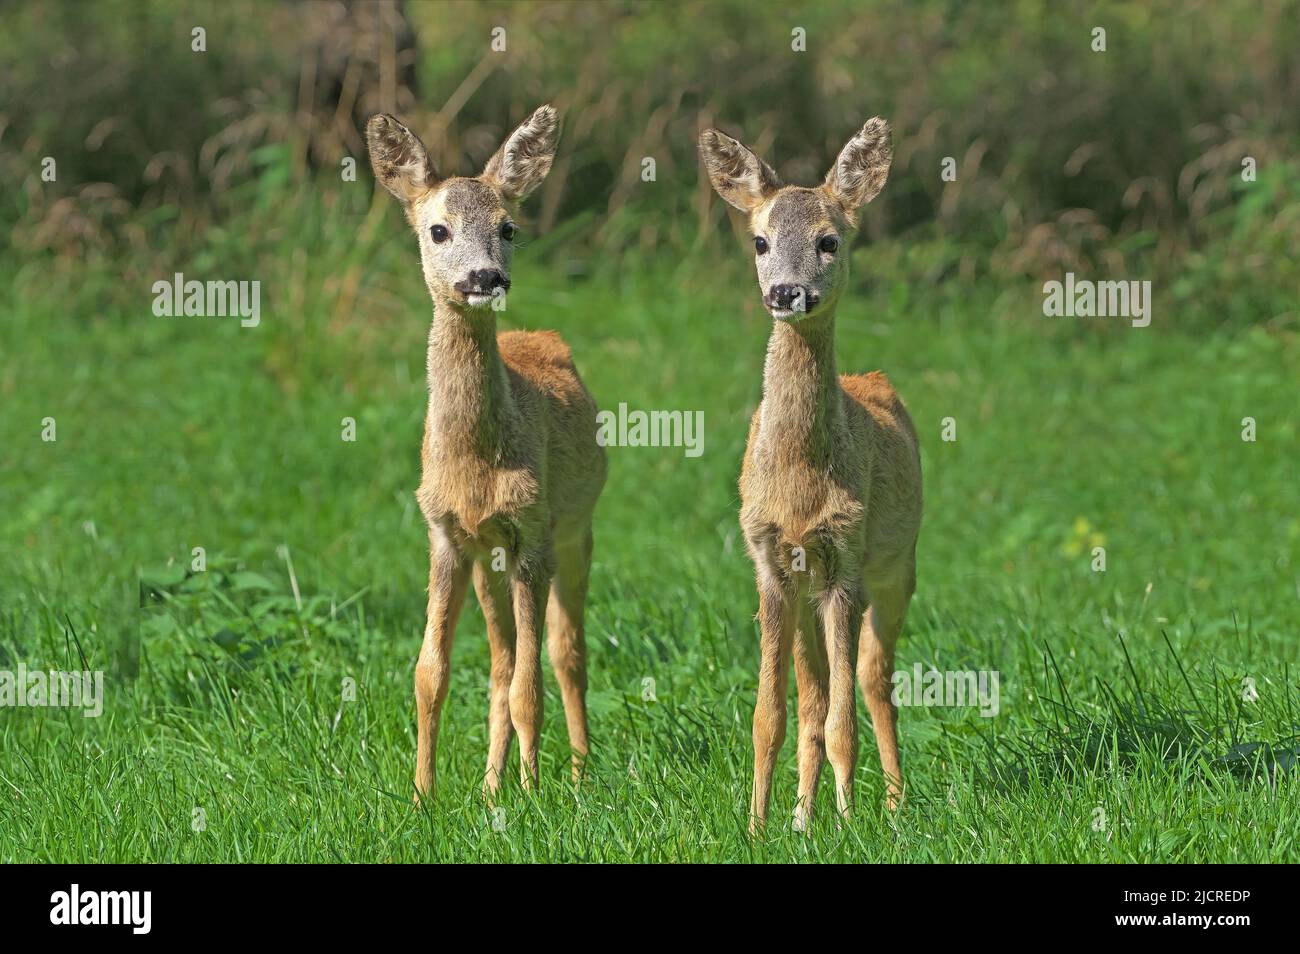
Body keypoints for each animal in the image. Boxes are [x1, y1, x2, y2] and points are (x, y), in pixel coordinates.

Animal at [366, 105, 606, 803]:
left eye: (508, 227)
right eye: (438, 228)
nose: (485, 277)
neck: (475, 464)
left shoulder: (532, 531)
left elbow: (532, 682)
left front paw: (532, 796)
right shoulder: (446, 534)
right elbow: (429, 673)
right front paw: (423, 795)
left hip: (574, 529)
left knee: (565, 653)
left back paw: (573, 774)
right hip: (487, 558)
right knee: (502, 659)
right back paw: (492, 783)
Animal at [699, 117, 922, 833]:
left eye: (829, 240)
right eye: (760, 240)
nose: (786, 292)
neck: (799, 486)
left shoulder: (846, 560)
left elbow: (846, 716)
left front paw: (849, 824)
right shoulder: (770, 564)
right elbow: (772, 713)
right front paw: (758, 824)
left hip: (896, 567)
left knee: (876, 681)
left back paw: (892, 805)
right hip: (807, 592)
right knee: (813, 695)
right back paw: (802, 814)